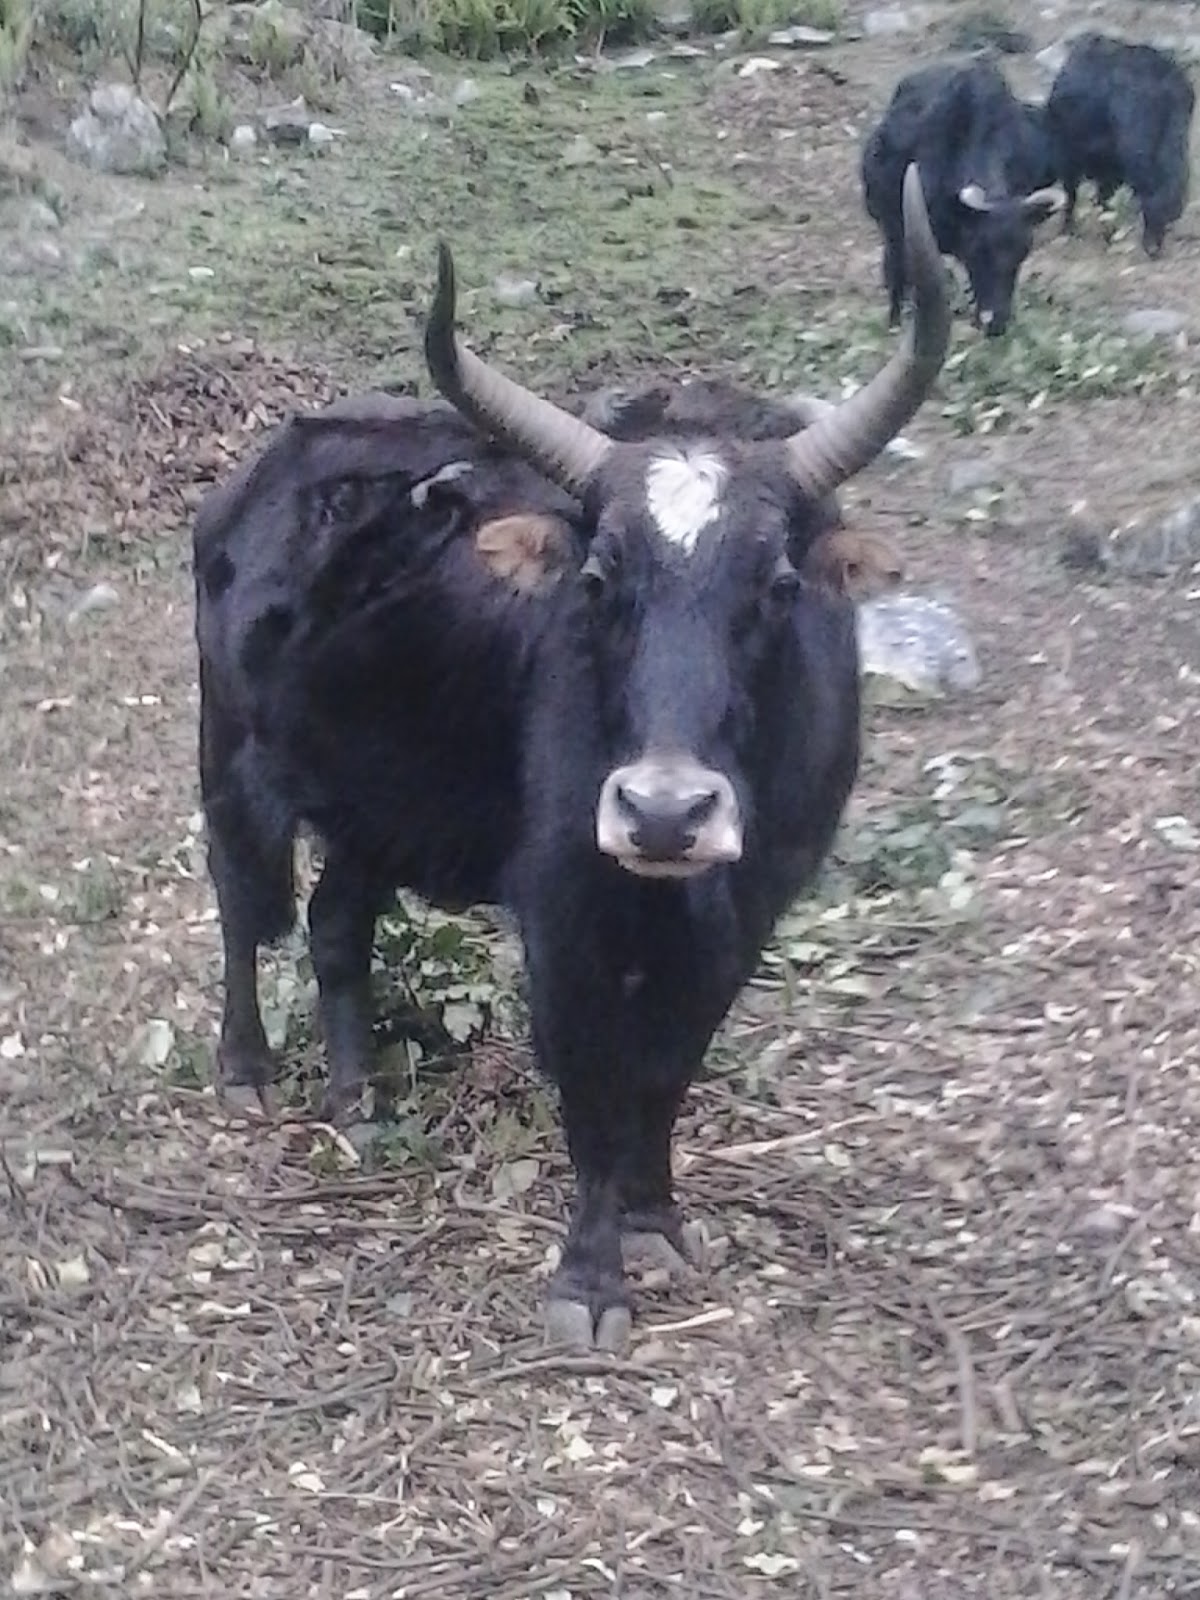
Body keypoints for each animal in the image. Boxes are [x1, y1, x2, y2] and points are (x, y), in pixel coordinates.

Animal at [194, 165, 949, 1351]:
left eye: (778, 585)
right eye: (598, 577)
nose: (665, 814)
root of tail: (262, 471)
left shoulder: (748, 915)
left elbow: (668, 1069)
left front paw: (656, 1221)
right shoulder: (559, 913)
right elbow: (592, 1085)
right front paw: (590, 1281)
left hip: (377, 807)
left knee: (335, 926)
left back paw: (359, 1102)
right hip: (229, 758)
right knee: (240, 907)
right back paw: (248, 1076)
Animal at [1045, 32, 1195, 257]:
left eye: (1169, 218)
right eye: (1152, 211)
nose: (1153, 250)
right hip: (1069, 158)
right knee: (1072, 193)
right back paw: (1069, 228)